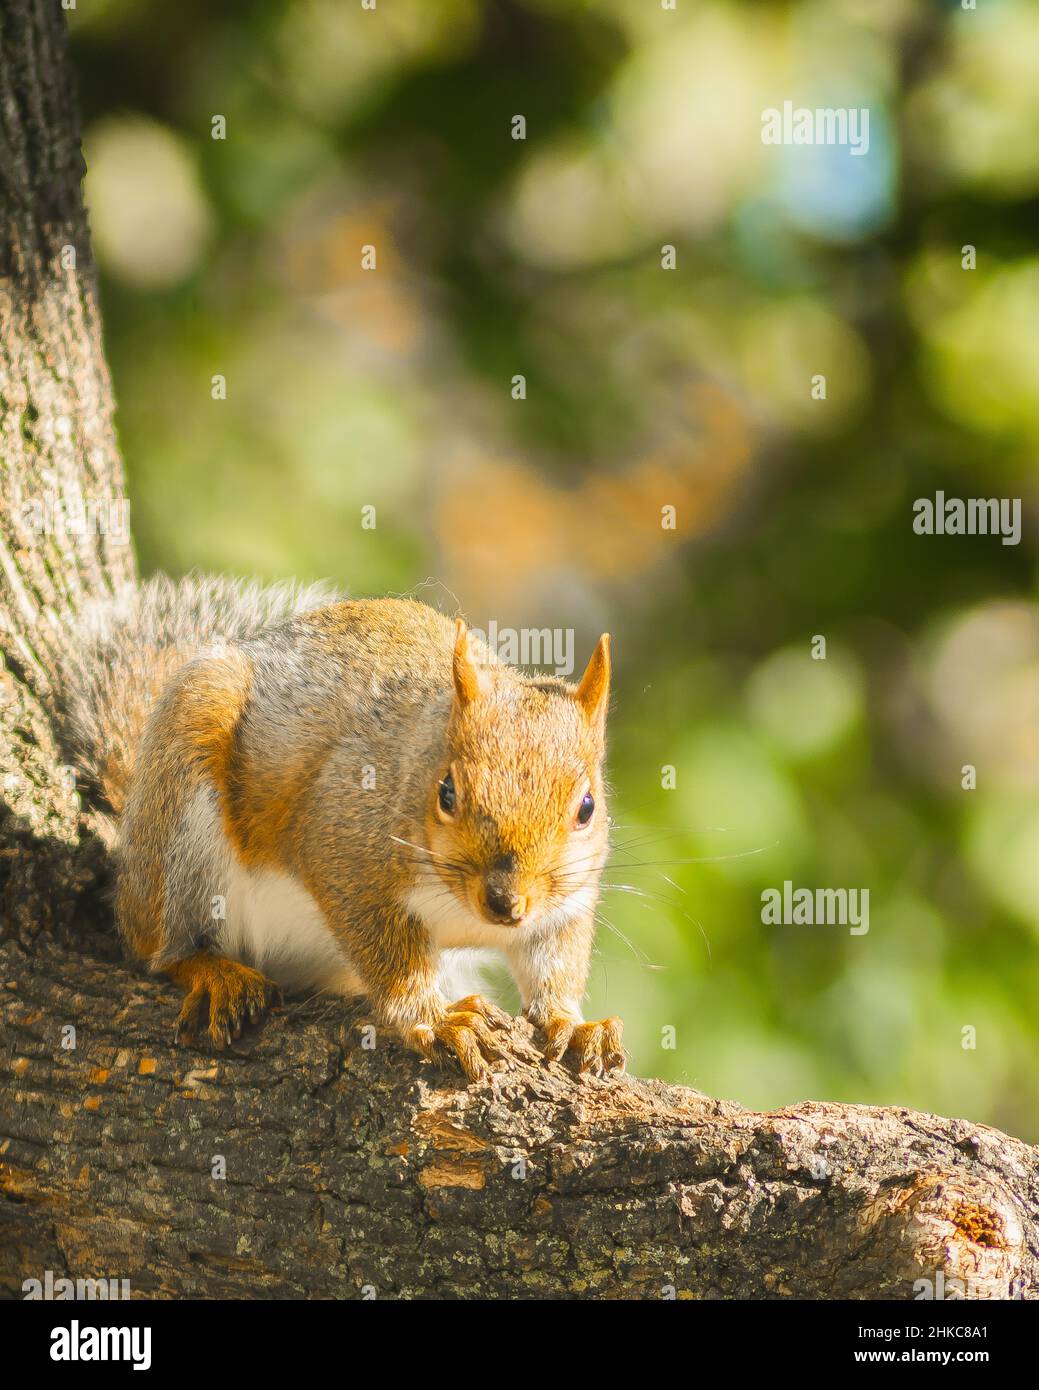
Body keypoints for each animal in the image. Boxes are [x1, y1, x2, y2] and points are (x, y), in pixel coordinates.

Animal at [57, 574, 624, 1081]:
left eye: (587, 807)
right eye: (447, 792)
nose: (506, 903)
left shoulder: (567, 897)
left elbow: (554, 957)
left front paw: (570, 1022)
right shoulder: (343, 845)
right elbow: (388, 956)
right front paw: (436, 1020)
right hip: (184, 806)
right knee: (159, 950)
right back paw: (211, 971)